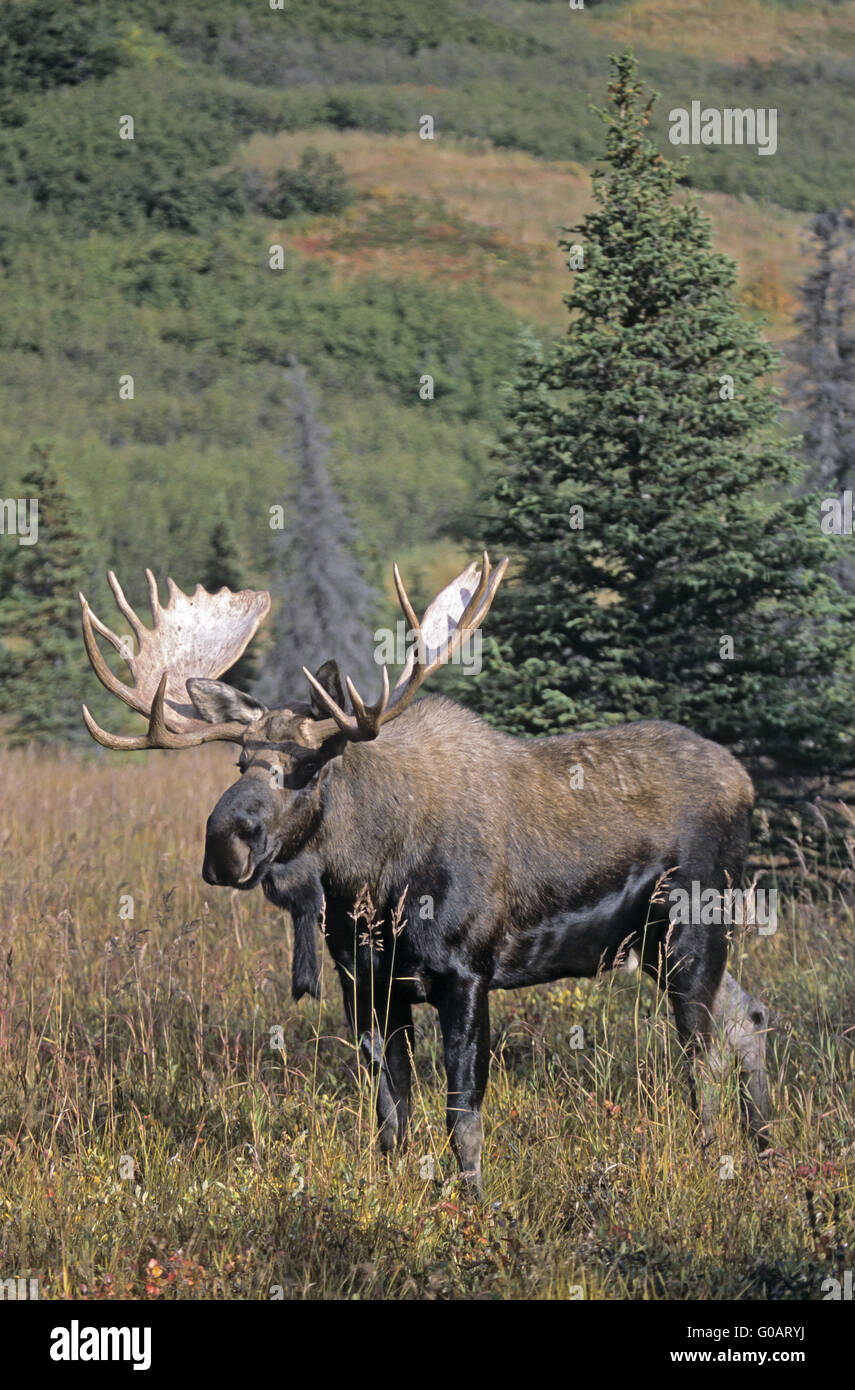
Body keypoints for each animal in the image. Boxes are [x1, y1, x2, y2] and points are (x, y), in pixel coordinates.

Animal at [79, 556, 770, 1197]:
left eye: (310, 766)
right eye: (241, 761)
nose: (224, 843)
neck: (371, 888)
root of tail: (746, 782)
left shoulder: (466, 974)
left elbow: (462, 1115)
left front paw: (474, 1206)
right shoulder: (366, 984)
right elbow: (392, 1116)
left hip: (693, 928)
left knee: (703, 1055)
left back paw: (716, 1159)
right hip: (653, 947)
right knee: (750, 1018)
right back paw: (766, 1154)